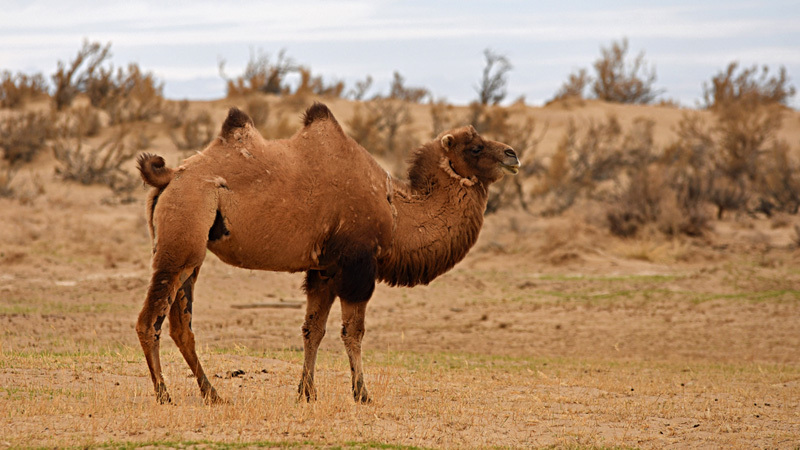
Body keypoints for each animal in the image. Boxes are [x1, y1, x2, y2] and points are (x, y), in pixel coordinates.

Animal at [135, 102, 519, 404]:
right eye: (475, 147)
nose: (512, 154)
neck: (396, 212)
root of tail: (170, 176)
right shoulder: (358, 267)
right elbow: (353, 332)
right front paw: (362, 394)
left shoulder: (324, 269)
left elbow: (313, 329)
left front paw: (307, 393)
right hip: (181, 241)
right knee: (149, 319)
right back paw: (164, 394)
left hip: (190, 254)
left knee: (180, 325)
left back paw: (212, 394)